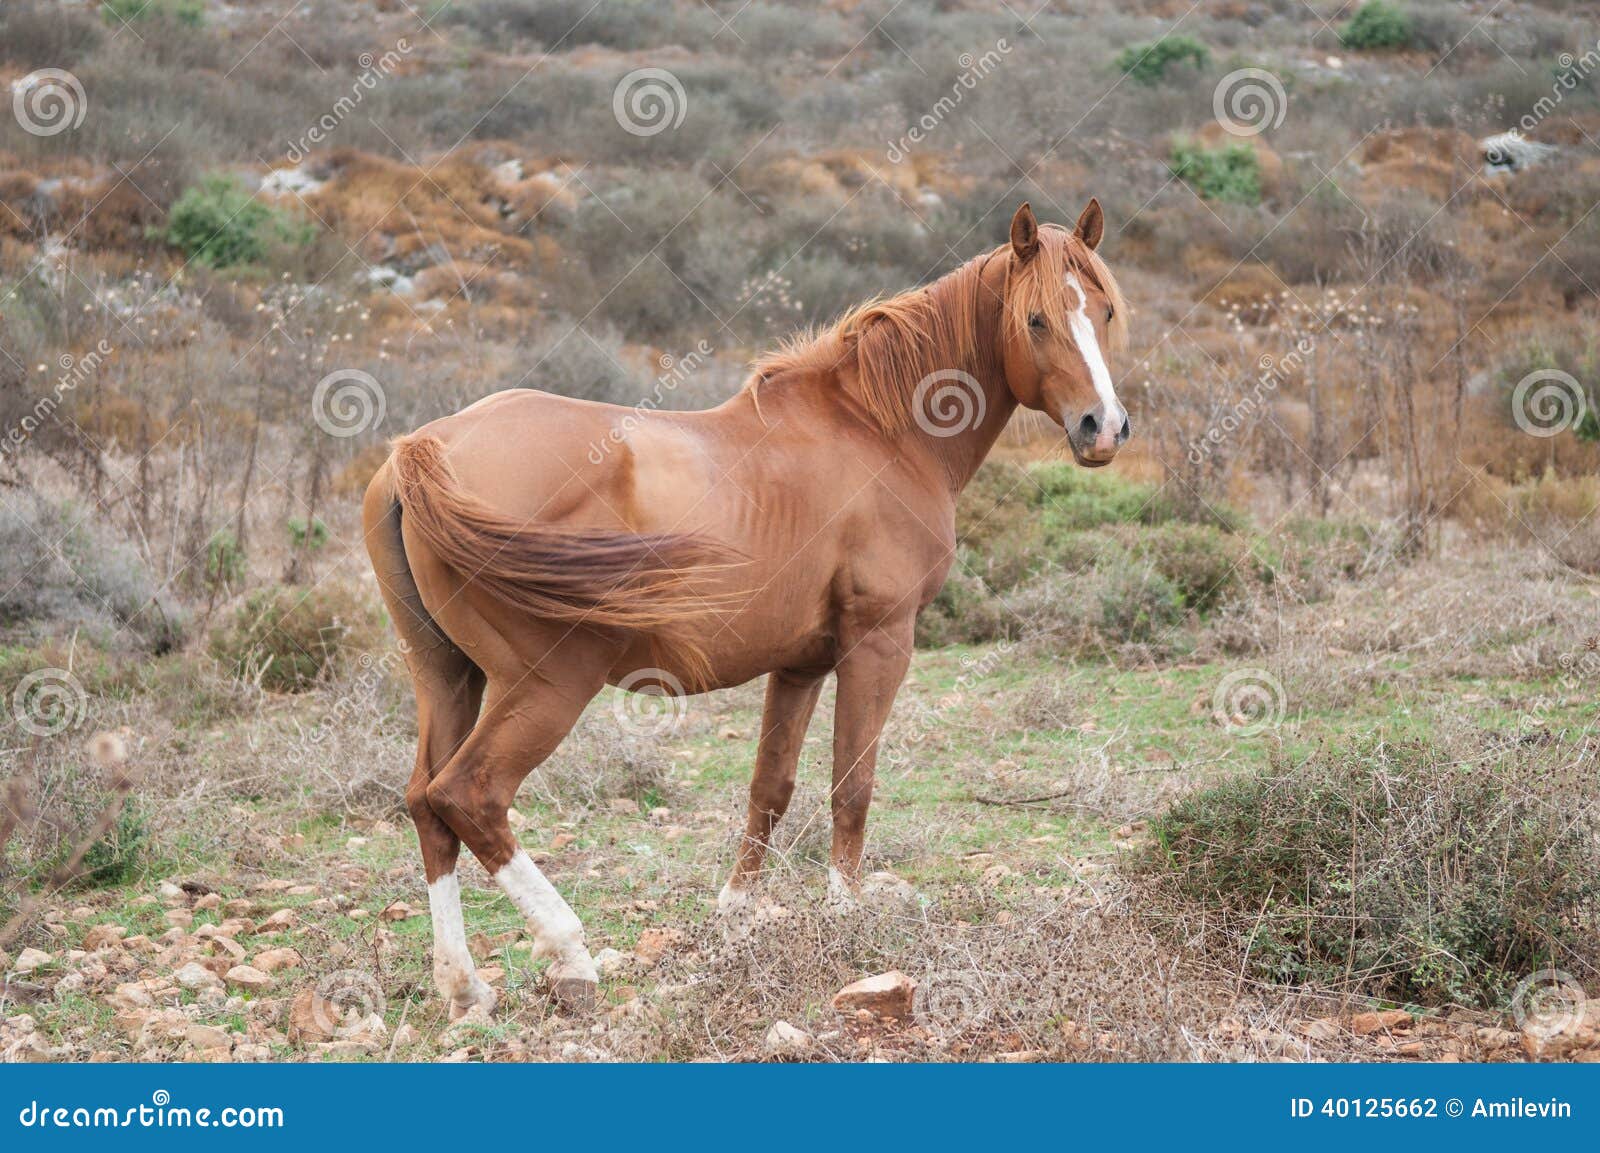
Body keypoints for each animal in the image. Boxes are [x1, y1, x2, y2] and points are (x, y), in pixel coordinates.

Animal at [362, 201, 1130, 1017]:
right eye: (1036, 319)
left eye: (1105, 310)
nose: (1103, 427)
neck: (876, 428)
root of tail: (421, 448)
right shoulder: (880, 643)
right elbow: (851, 783)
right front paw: (844, 915)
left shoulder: (799, 665)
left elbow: (771, 786)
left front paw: (736, 913)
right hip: (548, 684)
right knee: (470, 796)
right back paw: (569, 953)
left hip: (449, 676)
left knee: (426, 805)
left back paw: (463, 983)